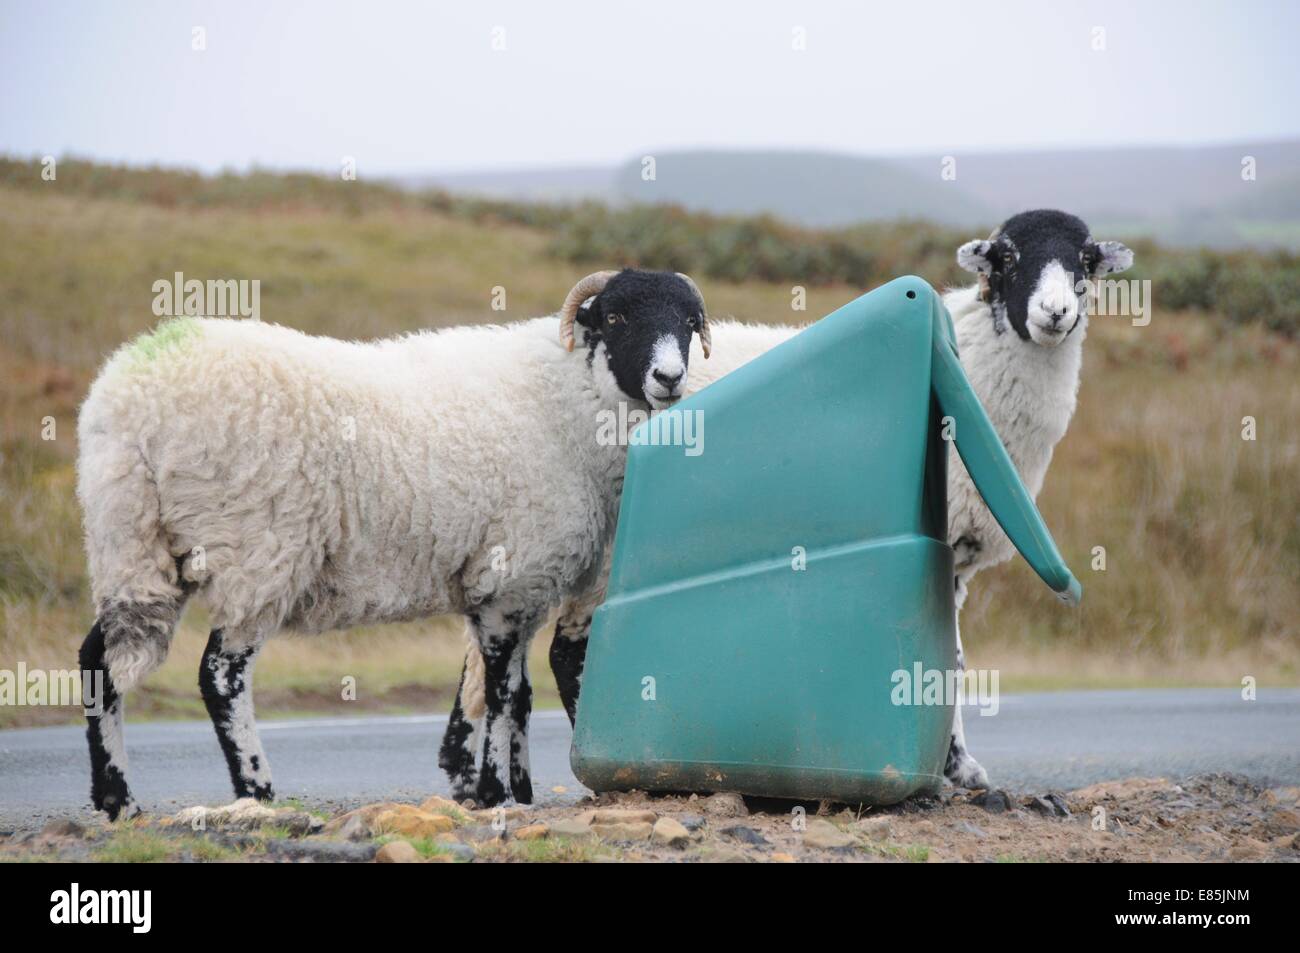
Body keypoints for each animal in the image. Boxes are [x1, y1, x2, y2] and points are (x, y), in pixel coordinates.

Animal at [75, 268, 713, 818]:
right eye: (616, 316)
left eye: (689, 320)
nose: (669, 380)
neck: (570, 397)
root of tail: (126, 400)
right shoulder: (513, 576)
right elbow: (503, 692)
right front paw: (496, 793)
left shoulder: (516, 590)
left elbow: (511, 690)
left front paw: (500, 789)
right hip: (255, 551)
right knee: (220, 676)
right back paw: (256, 790)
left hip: (134, 547)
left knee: (98, 660)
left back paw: (118, 800)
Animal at [446, 210, 1132, 794]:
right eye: (1007, 257)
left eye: (1085, 260)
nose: (1054, 313)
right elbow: (957, 657)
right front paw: (958, 767)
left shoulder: (956, 556)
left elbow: (956, 658)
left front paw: (956, 766)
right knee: (548, 652)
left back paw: (466, 773)